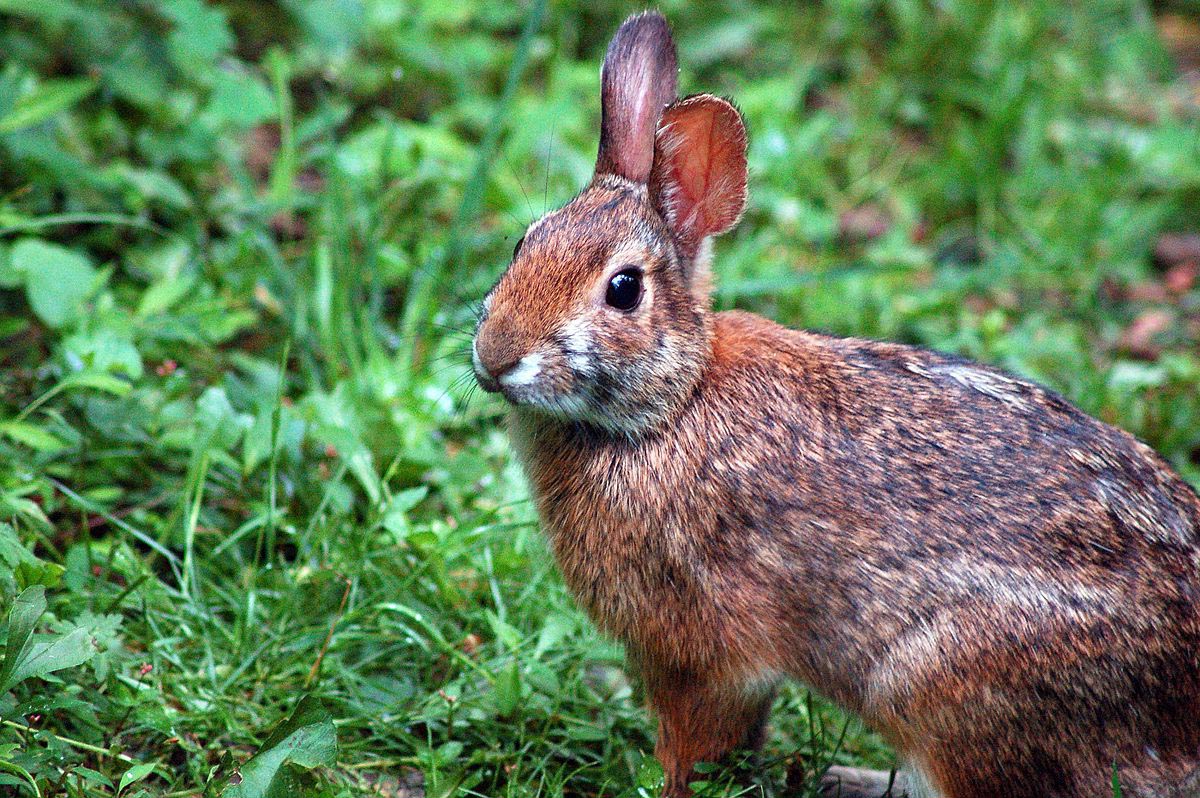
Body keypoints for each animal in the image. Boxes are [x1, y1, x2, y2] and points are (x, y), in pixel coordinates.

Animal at [470, 11, 1200, 798]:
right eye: (524, 243)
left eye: (624, 289)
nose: (495, 356)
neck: (671, 407)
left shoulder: (704, 652)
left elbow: (695, 744)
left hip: (941, 687)